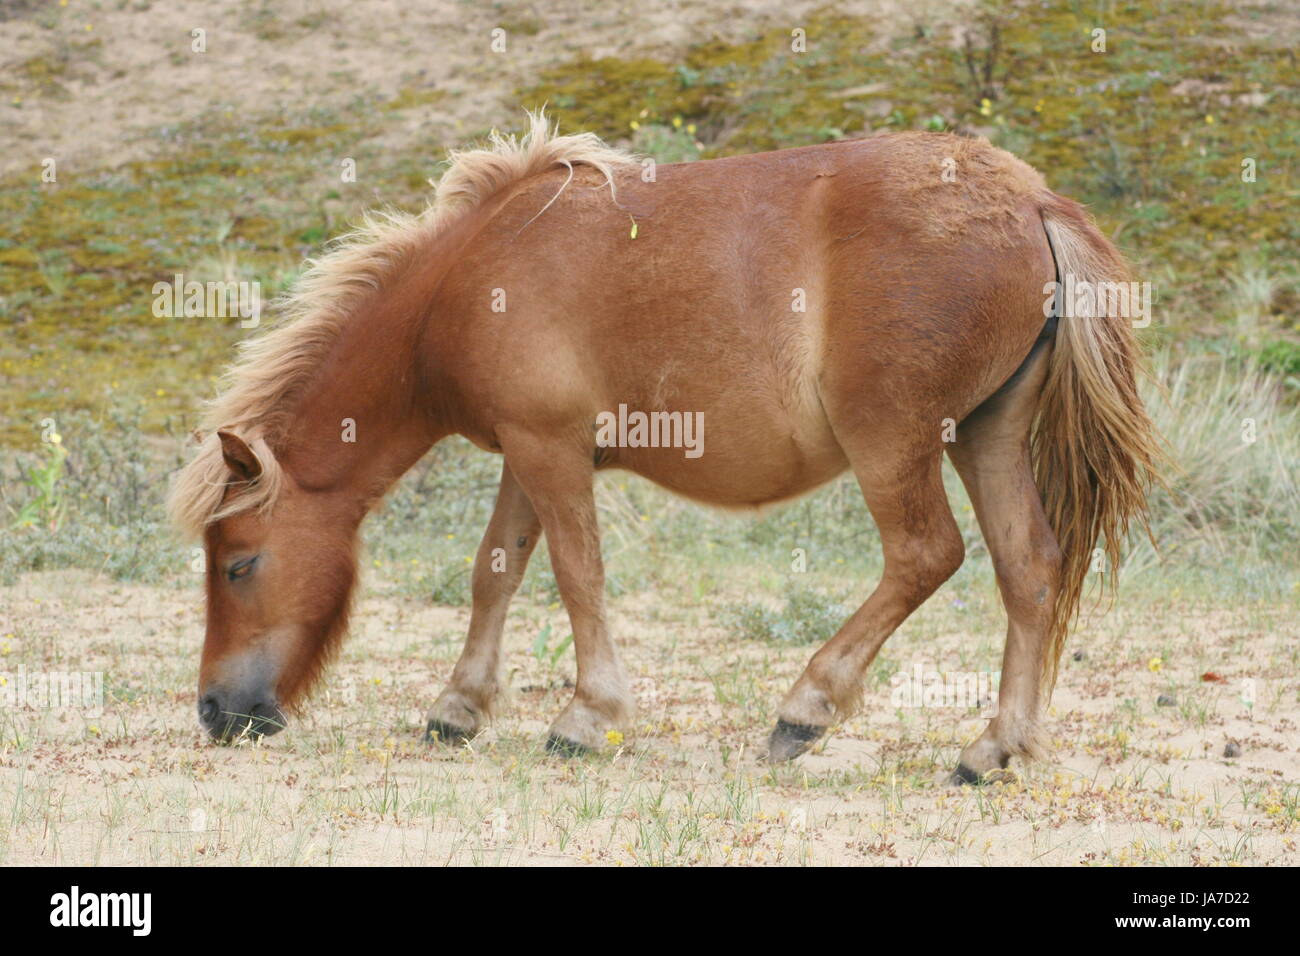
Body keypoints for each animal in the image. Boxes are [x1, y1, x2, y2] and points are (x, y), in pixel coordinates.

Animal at [168, 112, 1161, 782]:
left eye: (239, 564)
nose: (217, 711)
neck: (472, 276)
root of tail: (1032, 200)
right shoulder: (528, 452)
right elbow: (496, 572)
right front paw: (458, 708)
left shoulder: (550, 451)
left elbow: (576, 576)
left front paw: (586, 717)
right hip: (985, 435)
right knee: (1029, 571)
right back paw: (993, 749)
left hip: (896, 443)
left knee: (925, 555)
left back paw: (805, 711)